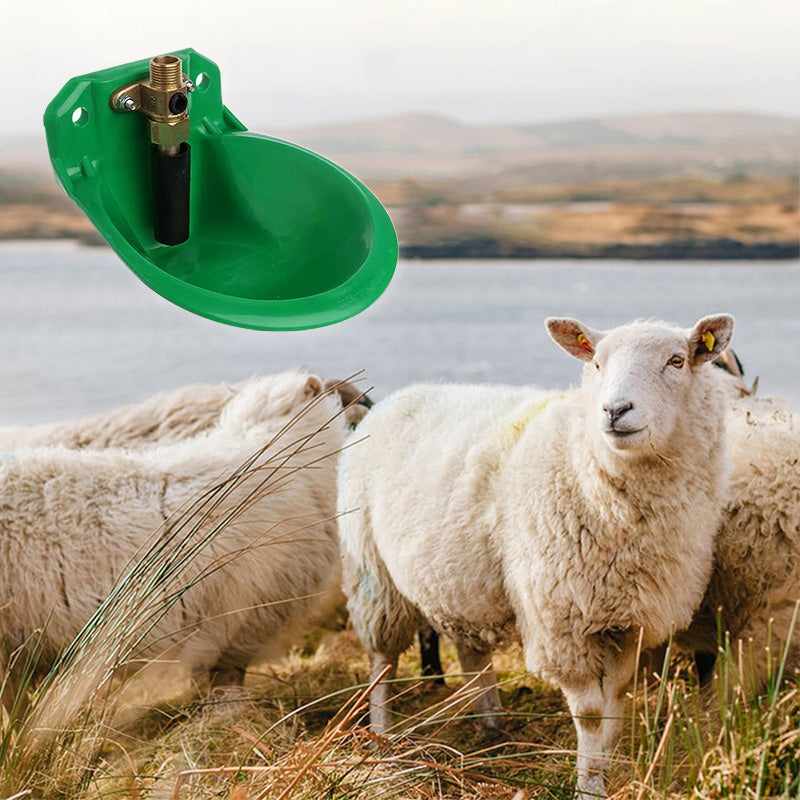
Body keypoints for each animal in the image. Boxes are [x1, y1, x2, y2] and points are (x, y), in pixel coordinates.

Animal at [337, 314, 735, 799]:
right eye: (596, 363)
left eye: (676, 361)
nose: (614, 411)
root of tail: (394, 400)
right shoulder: (562, 622)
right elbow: (590, 713)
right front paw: (589, 784)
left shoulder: (629, 620)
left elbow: (616, 700)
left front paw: (609, 762)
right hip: (372, 572)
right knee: (382, 660)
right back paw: (383, 740)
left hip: (460, 579)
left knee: (472, 652)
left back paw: (493, 727)